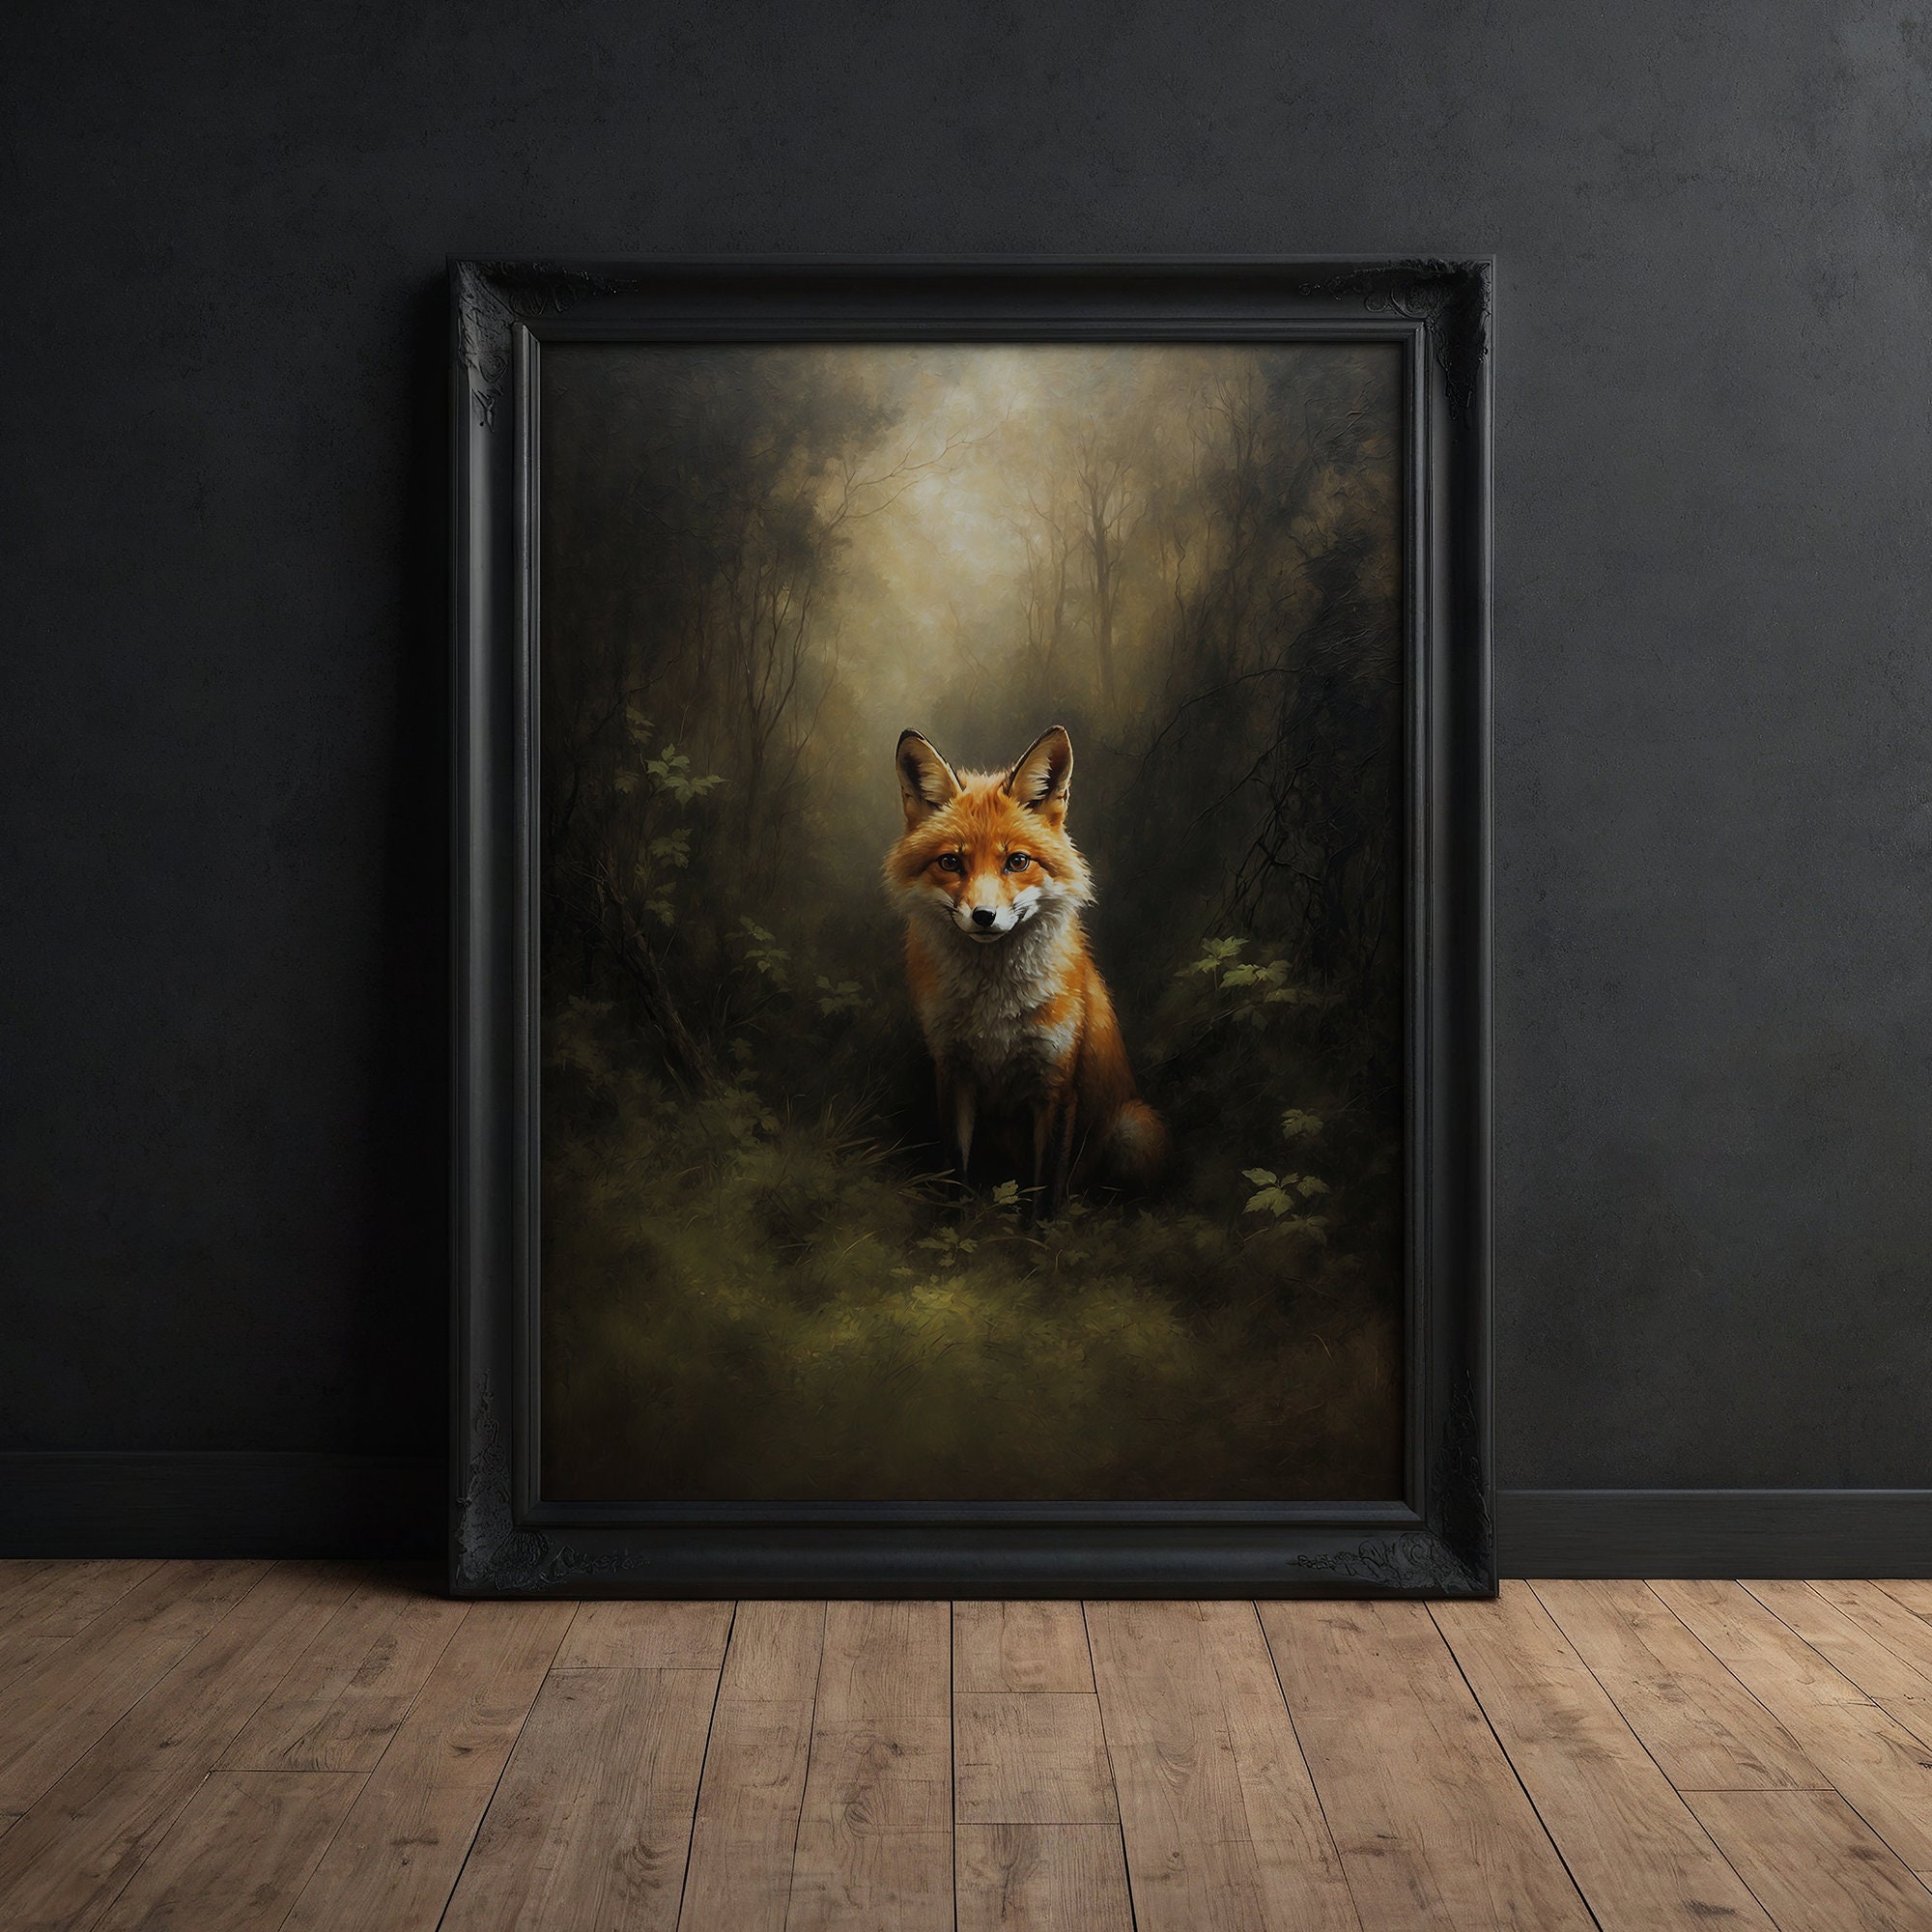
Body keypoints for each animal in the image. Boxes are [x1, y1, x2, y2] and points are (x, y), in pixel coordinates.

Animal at [884, 723, 1167, 1213]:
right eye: (950, 862)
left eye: (1016, 861)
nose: (983, 916)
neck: (993, 1009)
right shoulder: (952, 1071)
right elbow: (955, 1171)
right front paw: (953, 1226)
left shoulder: (1056, 1083)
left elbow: (1046, 1190)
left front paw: (1042, 1233)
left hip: (1135, 1130)